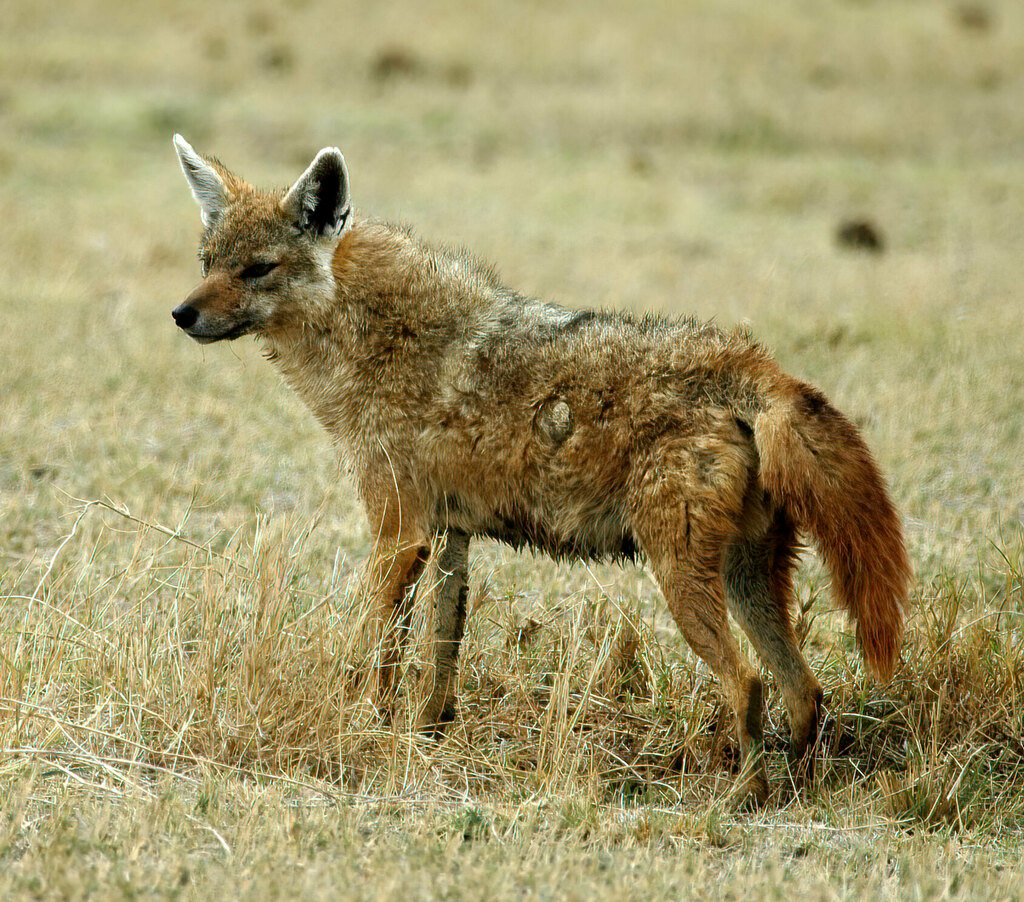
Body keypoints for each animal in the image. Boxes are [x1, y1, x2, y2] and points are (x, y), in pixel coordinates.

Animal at [171, 135, 910, 806]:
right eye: (208, 263)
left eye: (258, 269)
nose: (182, 314)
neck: (376, 343)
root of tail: (754, 367)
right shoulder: (449, 536)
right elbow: (440, 658)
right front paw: (423, 739)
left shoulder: (397, 533)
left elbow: (375, 650)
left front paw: (365, 727)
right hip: (745, 579)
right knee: (804, 690)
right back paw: (796, 789)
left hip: (682, 579)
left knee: (749, 683)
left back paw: (742, 798)